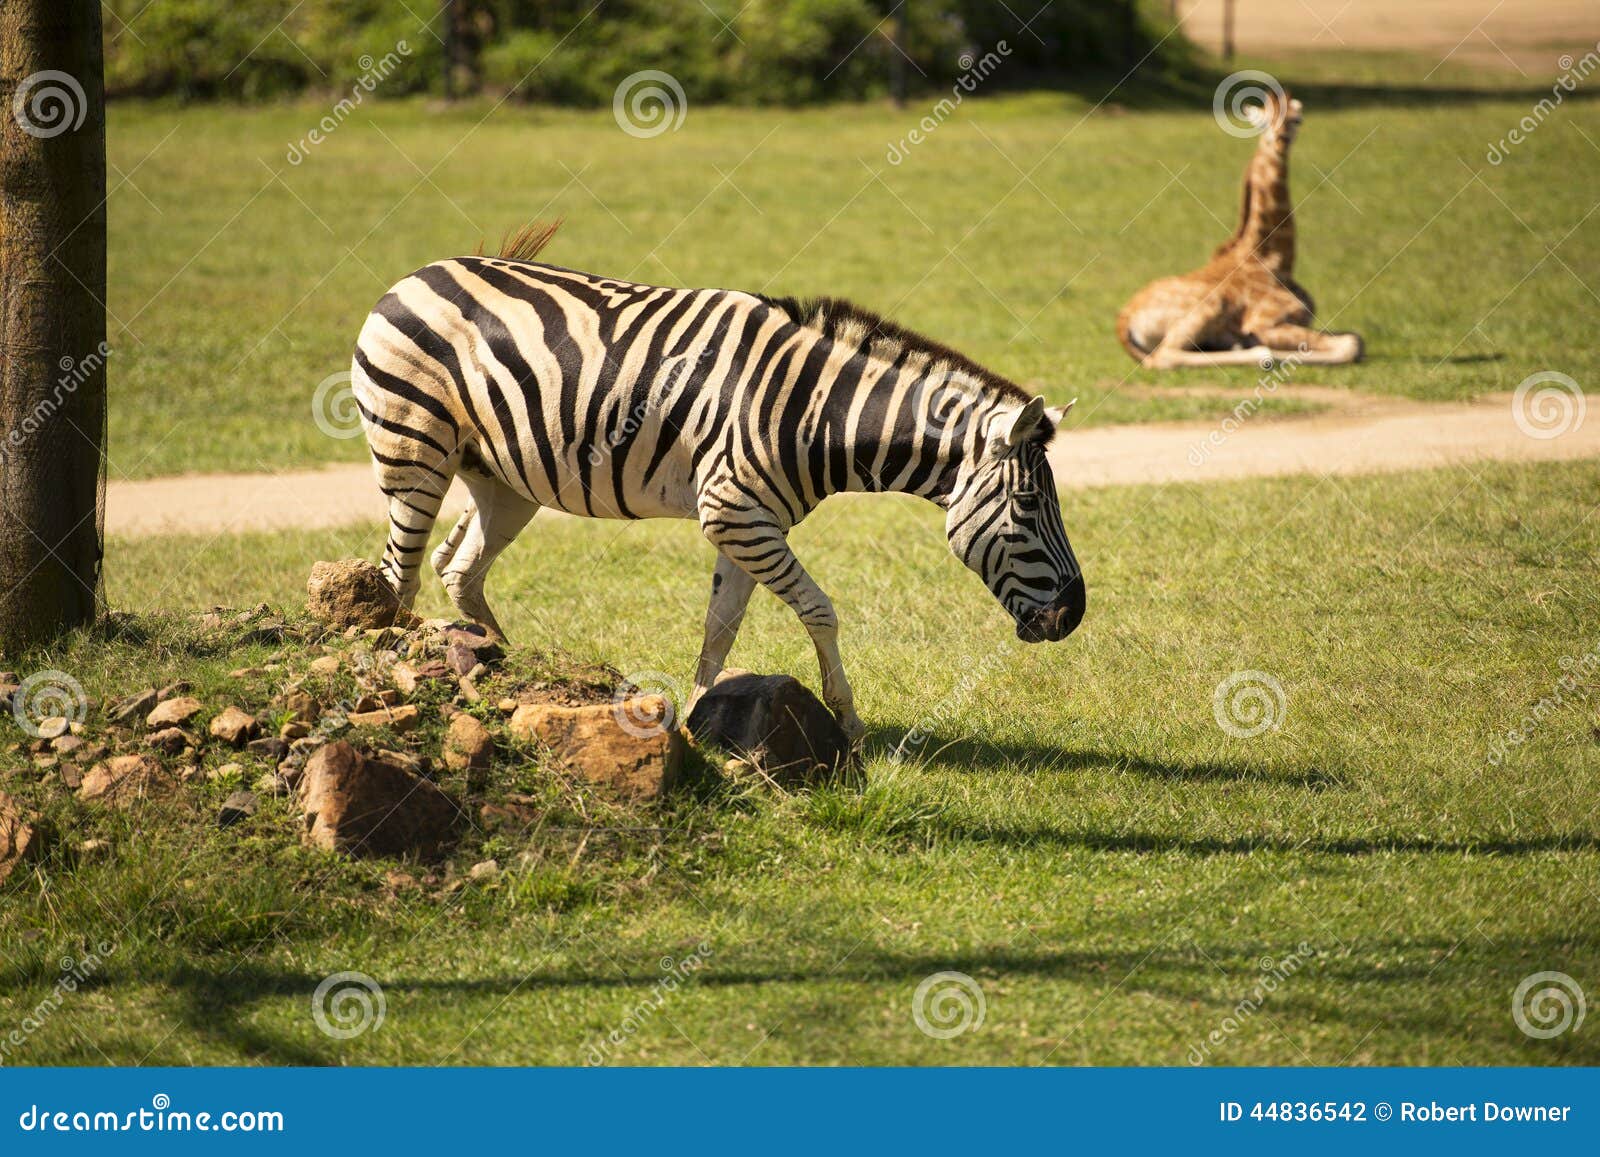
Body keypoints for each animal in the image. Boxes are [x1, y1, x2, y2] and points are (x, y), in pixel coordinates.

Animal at [350, 224, 1085, 740]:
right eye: (1027, 505)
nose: (1074, 615)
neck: (816, 410)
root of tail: (422, 272)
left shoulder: (751, 520)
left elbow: (720, 628)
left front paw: (700, 721)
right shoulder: (732, 510)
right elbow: (820, 609)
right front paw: (848, 721)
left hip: (502, 479)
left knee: (459, 567)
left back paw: (508, 667)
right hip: (413, 447)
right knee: (399, 576)